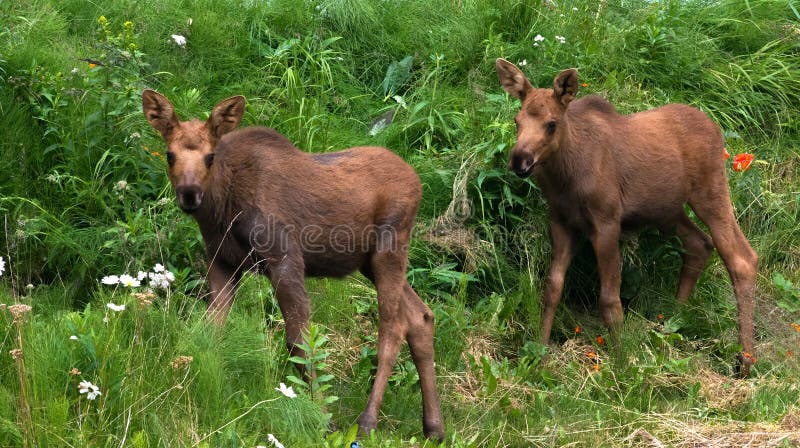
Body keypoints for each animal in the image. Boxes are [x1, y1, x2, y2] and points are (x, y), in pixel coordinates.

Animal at [142, 89, 445, 439]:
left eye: (209, 156)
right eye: (169, 155)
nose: (189, 194)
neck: (222, 210)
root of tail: (418, 182)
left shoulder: (285, 258)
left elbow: (298, 342)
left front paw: (322, 417)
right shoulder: (223, 263)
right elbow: (210, 330)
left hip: (389, 248)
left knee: (392, 327)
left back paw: (367, 422)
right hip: (368, 261)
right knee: (421, 317)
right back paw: (434, 427)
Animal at [495, 59, 758, 376]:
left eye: (551, 123)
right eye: (517, 120)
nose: (519, 160)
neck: (565, 177)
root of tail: (717, 129)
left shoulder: (607, 220)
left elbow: (609, 299)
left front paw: (621, 362)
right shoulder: (561, 221)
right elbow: (551, 289)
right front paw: (538, 353)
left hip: (711, 190)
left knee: (742, 258)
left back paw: (745, 360)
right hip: (667, 210)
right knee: (699, 244)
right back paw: (670, 323)